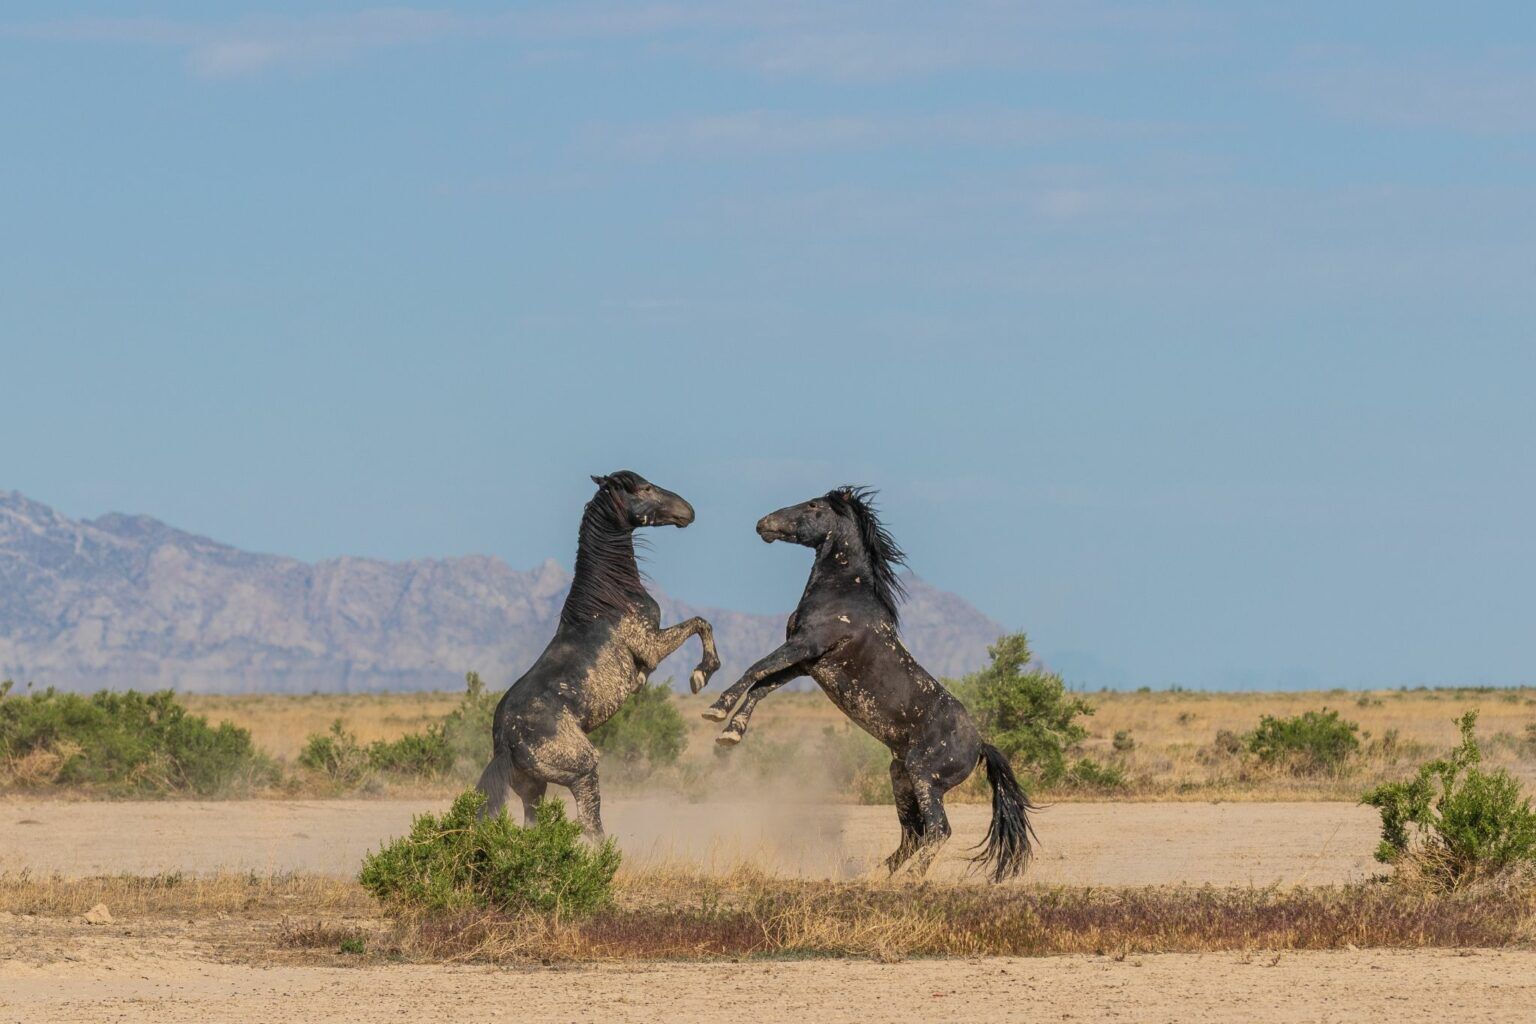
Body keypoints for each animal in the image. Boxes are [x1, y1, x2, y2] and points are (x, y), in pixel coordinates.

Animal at [476, 471, 722, 838]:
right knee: (591, 827)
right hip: (582, 770)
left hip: (533, 788)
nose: (687, 511)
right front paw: (701, 675)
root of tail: (506, 741)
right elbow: (699, 623)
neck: (608, 599)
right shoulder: (651, 646)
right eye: (645, 488)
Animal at [700, 487, 1034, 881]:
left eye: (813, 505)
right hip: (900, 777)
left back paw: (910, 880)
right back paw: (873, 877)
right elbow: (761, 686)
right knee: (912, 834)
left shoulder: (805, 646)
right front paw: (730, 733)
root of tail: (980, 744)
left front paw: (714, 707)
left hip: (925, 777)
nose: (763, 523)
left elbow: (754, 671)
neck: (844, 595)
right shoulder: (806, 664)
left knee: (938, 830)